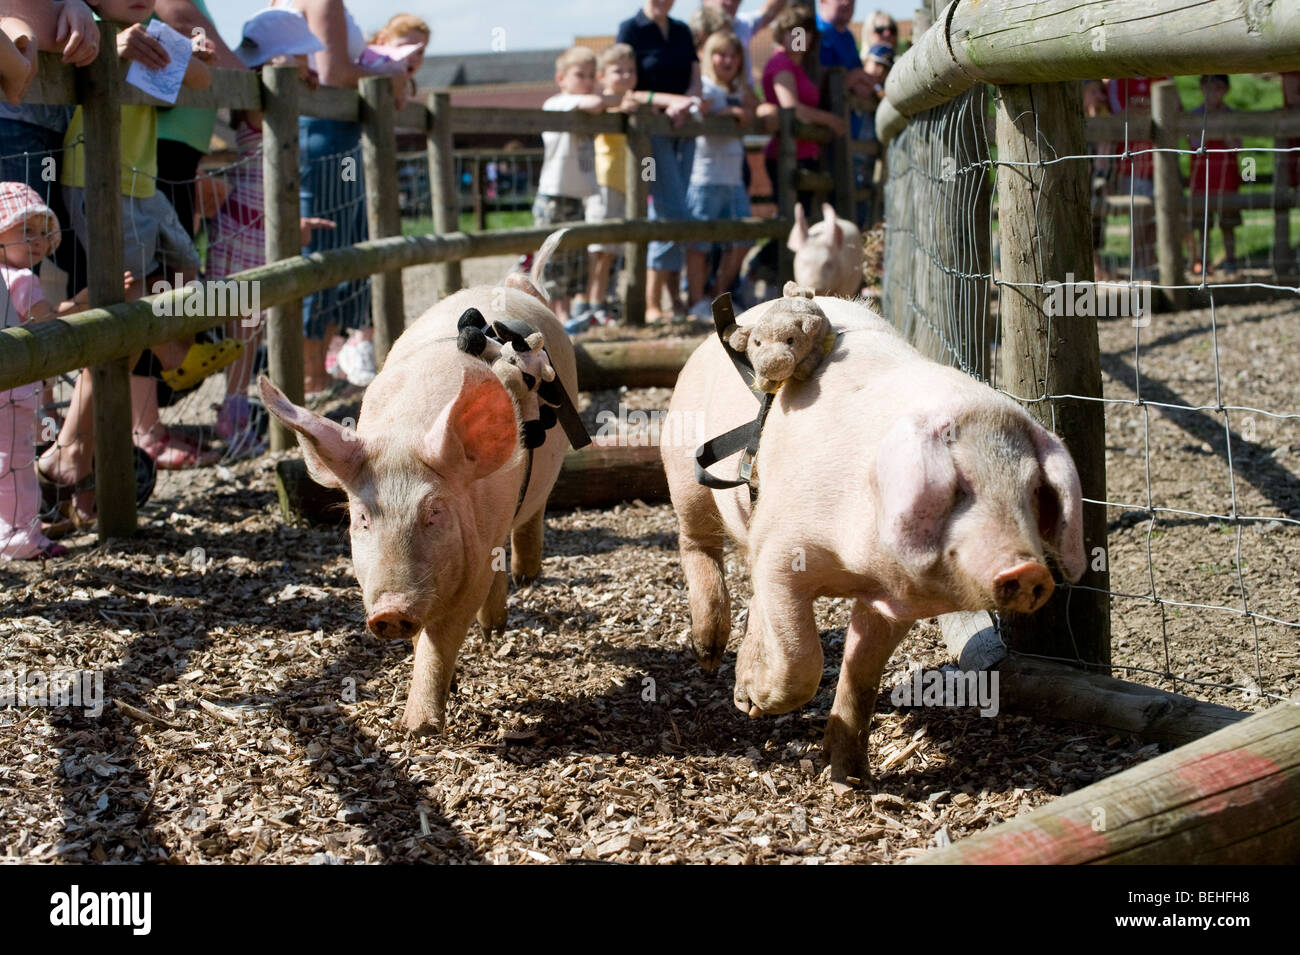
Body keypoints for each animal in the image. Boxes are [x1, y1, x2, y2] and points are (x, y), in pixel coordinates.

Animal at [258, 232, 578, 736]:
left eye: (434, 512)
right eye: (362, 517)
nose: (389, 611)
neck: (405, 434)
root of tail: (515, 284)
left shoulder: (473, 559)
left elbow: (440, 638)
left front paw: (418, 727)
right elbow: (423, 636)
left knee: (530, 518)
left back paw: (521, 586)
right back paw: (495, 626)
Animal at [661, 296, 1085, 788]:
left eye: (1033, 491)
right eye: (958, 484)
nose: (1028, 569)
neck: (859, 566)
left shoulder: (892, 604)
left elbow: (861, 676)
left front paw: (851, 778)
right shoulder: (780, 552)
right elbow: (803, 659)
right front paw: (751, 707)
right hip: (682, 465)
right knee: (696, 540)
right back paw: (708, 654)